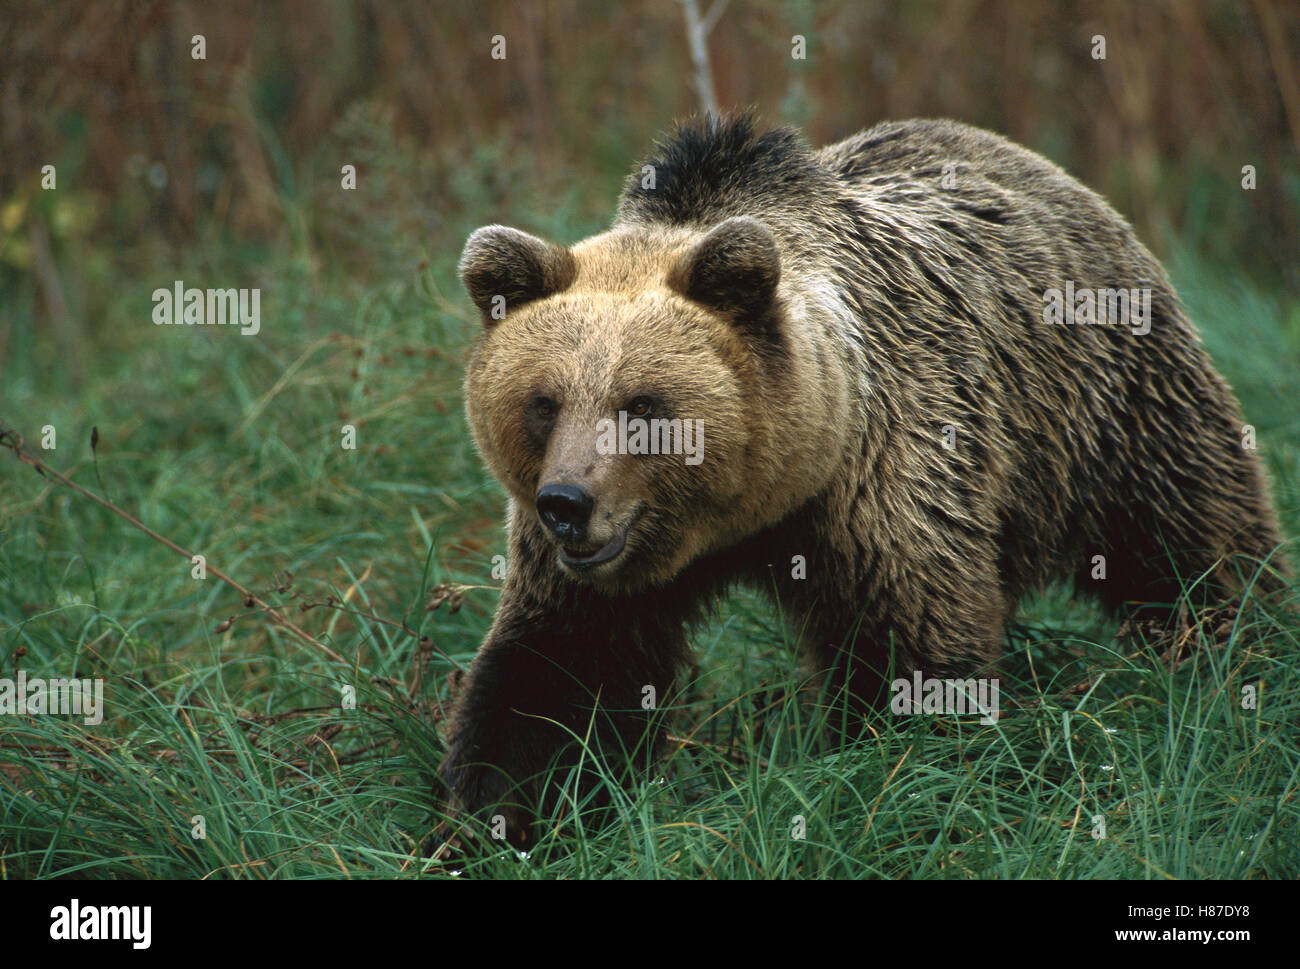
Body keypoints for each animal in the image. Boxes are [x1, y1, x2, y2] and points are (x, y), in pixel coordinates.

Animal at [438, 112, 1287, 848]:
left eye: (641, 404)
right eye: (543, 402)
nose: (566, 504)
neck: (758, 507)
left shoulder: (883, 482)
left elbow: (911, 655)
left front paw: (896, 776)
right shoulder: (601, 572)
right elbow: (557, 672)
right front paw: (493, 820)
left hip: (1108, 405)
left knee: (1190, 537)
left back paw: (1237, 652)